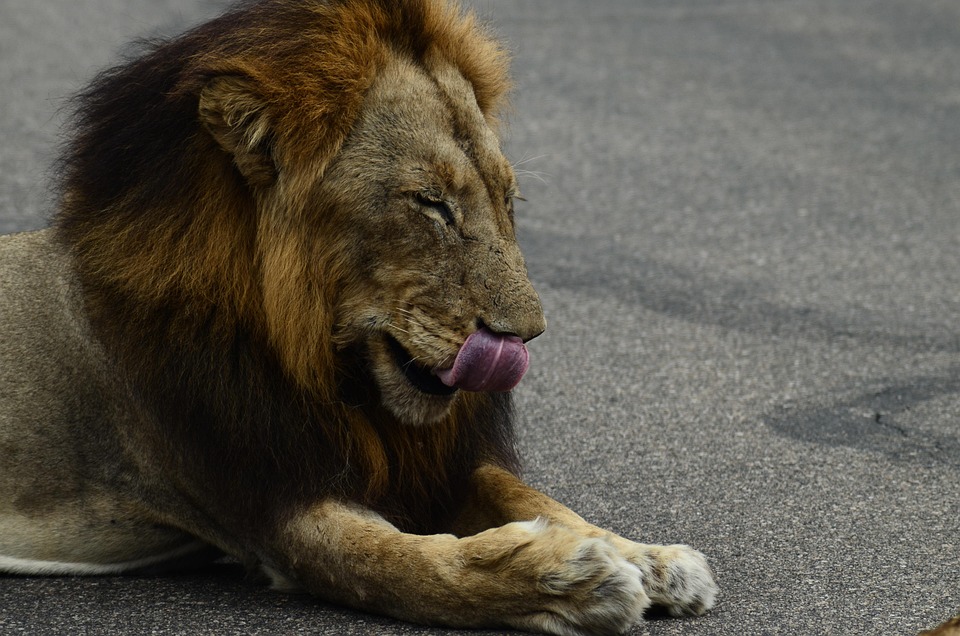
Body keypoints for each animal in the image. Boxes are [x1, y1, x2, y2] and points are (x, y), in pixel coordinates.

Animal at [0, 0, 717, 633]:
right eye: (431, 203)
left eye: (508, 199)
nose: (526, 335)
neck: (313, 358)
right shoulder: (276, 506)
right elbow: (409, 567)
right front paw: (569, 581)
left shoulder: (423, 461)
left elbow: (529, 495)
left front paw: (650, 558)